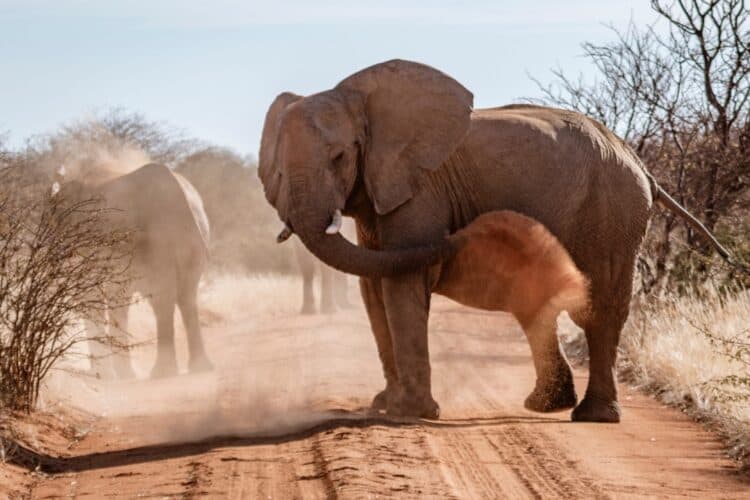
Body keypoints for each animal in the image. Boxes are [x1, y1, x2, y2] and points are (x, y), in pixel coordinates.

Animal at [258, 59, 730, 422]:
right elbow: (373, 289)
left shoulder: (420, 188)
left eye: (339, 157)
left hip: (613, 211)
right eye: (277, 168)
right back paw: (546, 406)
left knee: (598, 308)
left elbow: (402, 282)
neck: (359, 97)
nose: (486, 227)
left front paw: (409, 414)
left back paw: (593, 416)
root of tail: (639, 161)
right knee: (541, 303)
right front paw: (383, 406)